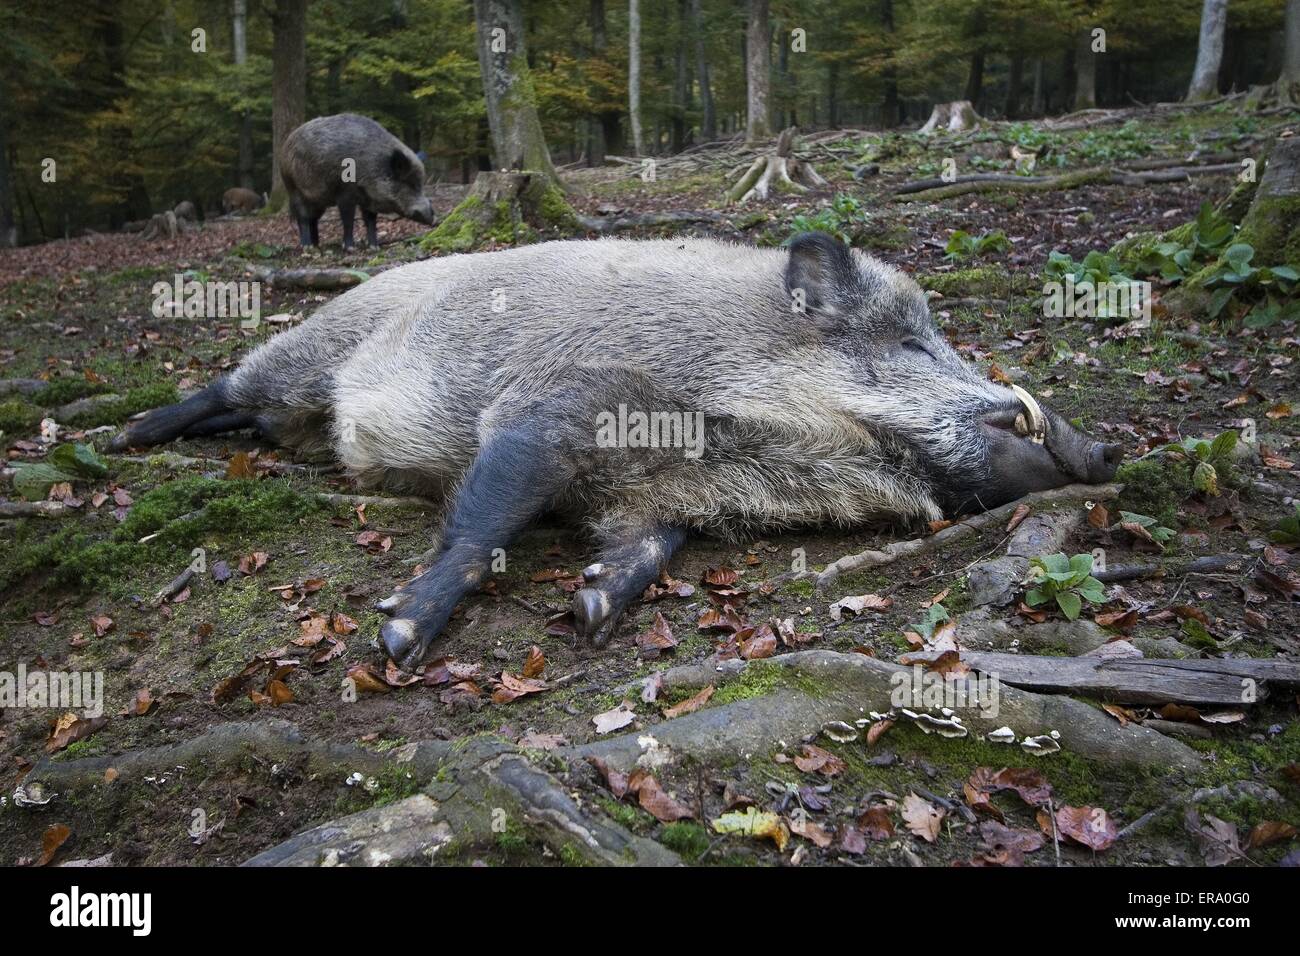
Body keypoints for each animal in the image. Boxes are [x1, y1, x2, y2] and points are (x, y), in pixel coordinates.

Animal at [109, 234, 1121, 668]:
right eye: (910, 344)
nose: (1107, 446)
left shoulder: (648, 498)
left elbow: (647, 550)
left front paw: (592, 609)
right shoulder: (552, 411)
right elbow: (480, 526)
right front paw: (398, 638)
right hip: (308, 351)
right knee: (227, 390)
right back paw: (126, 436)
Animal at [278, 113, 434, 250]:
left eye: (421, 184)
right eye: (410, 183)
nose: (434, 218)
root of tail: (286, 143)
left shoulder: (369, 199)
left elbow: (371, 221)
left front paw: (374, 248)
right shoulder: (345, 193)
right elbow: (348, 220)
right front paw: (350, 248)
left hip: (318, 200)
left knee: (313, 219)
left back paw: (317, 245)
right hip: (294, 188)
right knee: (303, 218)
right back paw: (307, 247)